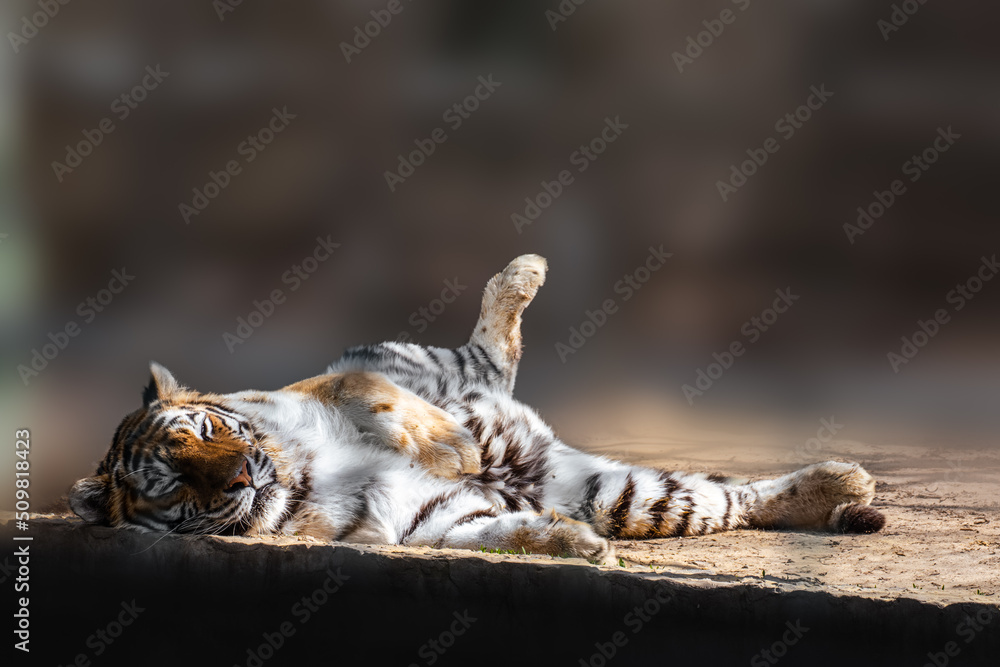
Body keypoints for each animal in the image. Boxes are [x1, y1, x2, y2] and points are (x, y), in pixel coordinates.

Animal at [69, 254, 885, 562]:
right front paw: (570, 544)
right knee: (729, 500)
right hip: (624, 493)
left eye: (208, 429)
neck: (293, 480)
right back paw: (843, 489)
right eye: (179, 485)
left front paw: (450, 452)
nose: (242, 474)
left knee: (485, 351)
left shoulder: (318, 391)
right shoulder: (419, 521)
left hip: (422, 361)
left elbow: (360, 395)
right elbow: (499, 531)